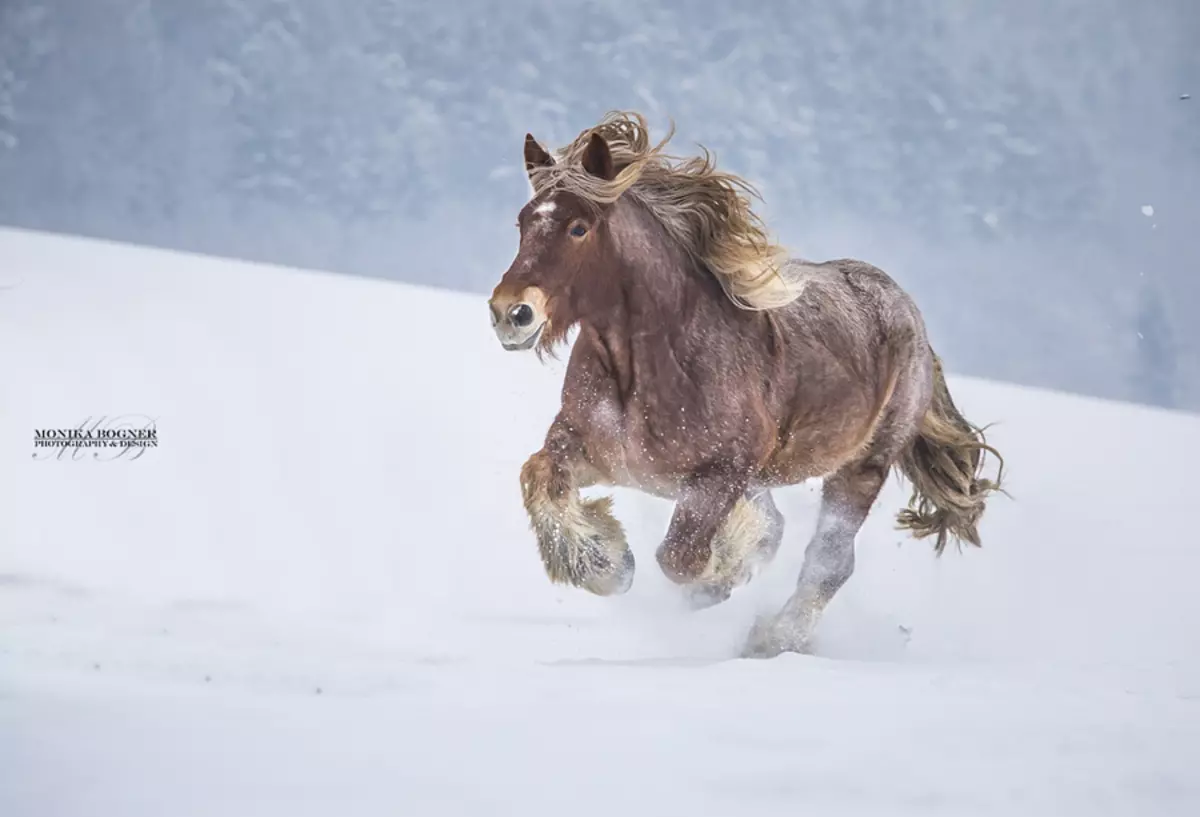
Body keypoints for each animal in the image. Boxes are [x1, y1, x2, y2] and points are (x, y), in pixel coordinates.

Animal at [484, 109, 1003, 657]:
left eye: (579, 227)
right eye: (523, 222)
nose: (511, 313)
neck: (650, 365)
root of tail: (908, 313)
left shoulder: (723, 473)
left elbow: (681, 557)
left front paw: (723, 573)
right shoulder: (591, 449)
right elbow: (537, 476)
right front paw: (606, 564)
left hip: (863, 468)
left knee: (829, 562)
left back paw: (772, 637)